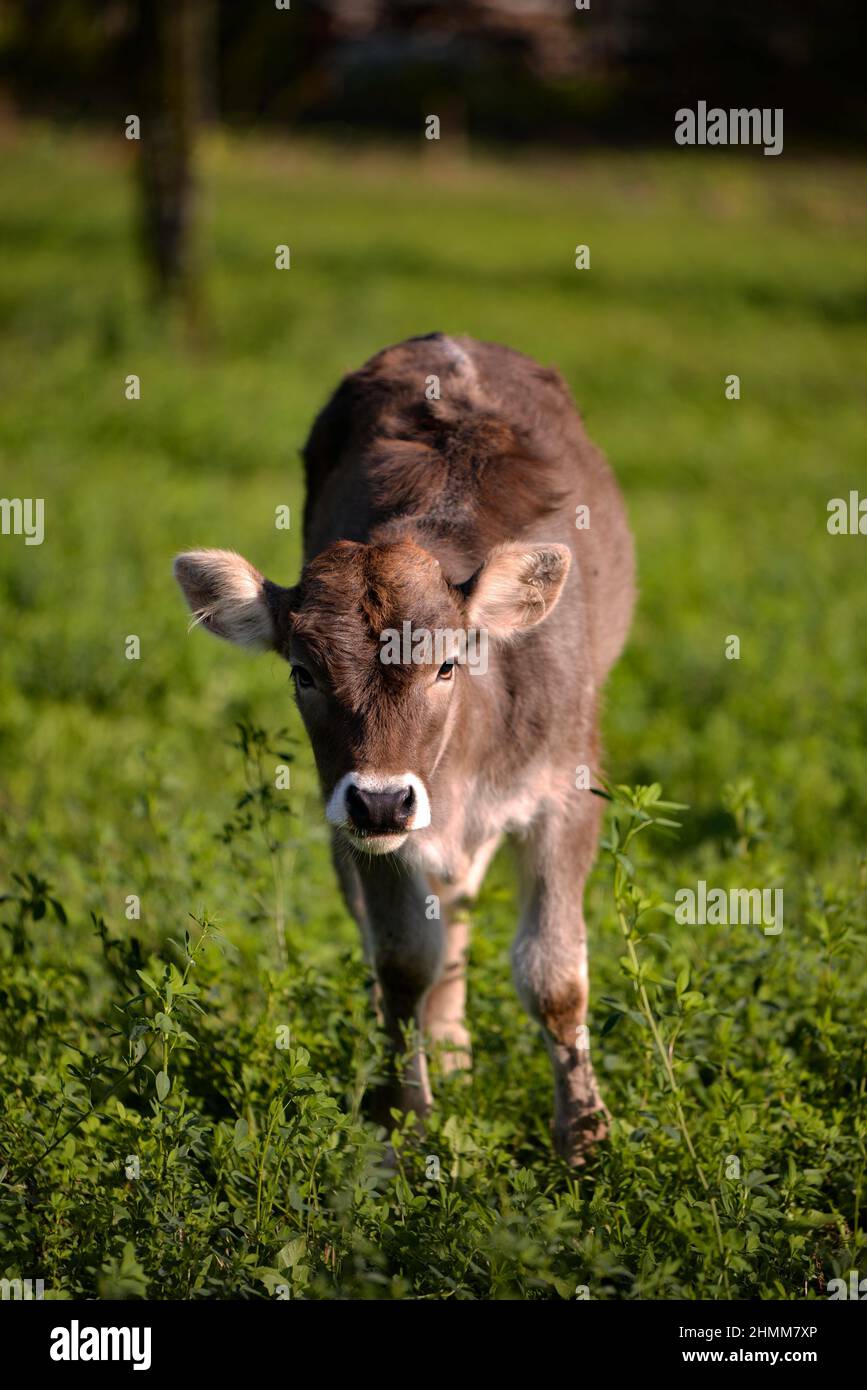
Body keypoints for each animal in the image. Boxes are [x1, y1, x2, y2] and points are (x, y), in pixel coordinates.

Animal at [174, 333, 634, 1165]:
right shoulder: (356, 825)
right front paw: (399, 1121)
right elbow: (399, 962)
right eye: (301, 671)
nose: (384, 799)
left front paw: (584, 1138)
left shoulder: (565, 791)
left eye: (446, 664)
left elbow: (553, 973)